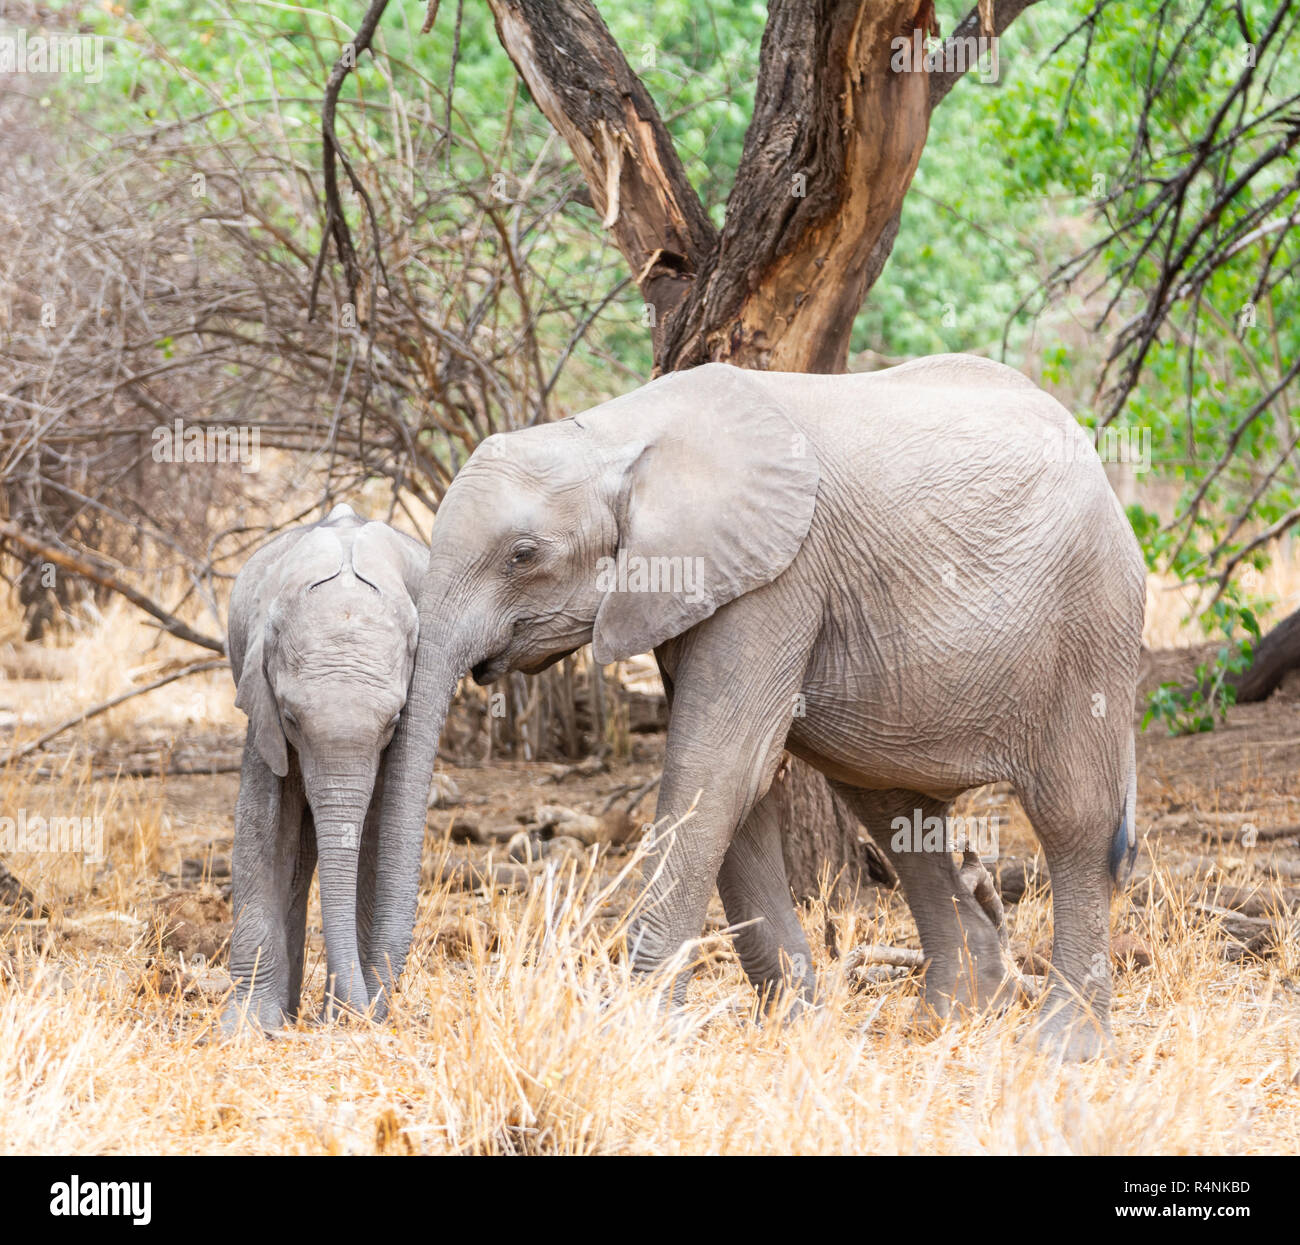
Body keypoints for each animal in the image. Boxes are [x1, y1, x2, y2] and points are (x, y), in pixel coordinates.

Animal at [222, 503, 427, 1030]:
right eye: (292, 718)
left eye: (394, 721)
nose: (357, 1015)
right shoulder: (261, 703)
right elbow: (264, 826)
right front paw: (246, 1028)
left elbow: (375, 837)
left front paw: (342, 1019)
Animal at [371, 354, 1145, 1059]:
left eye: (523, 555)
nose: (376, 1007)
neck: (616, 436)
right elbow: (736, 787)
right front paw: (796, 1026)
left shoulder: (777, 577)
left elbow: (716, 769)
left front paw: (637, 1034)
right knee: (892, 809)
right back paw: (953, 1016)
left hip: (1090, 623)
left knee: (1073, 820)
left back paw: (1063, 1047)